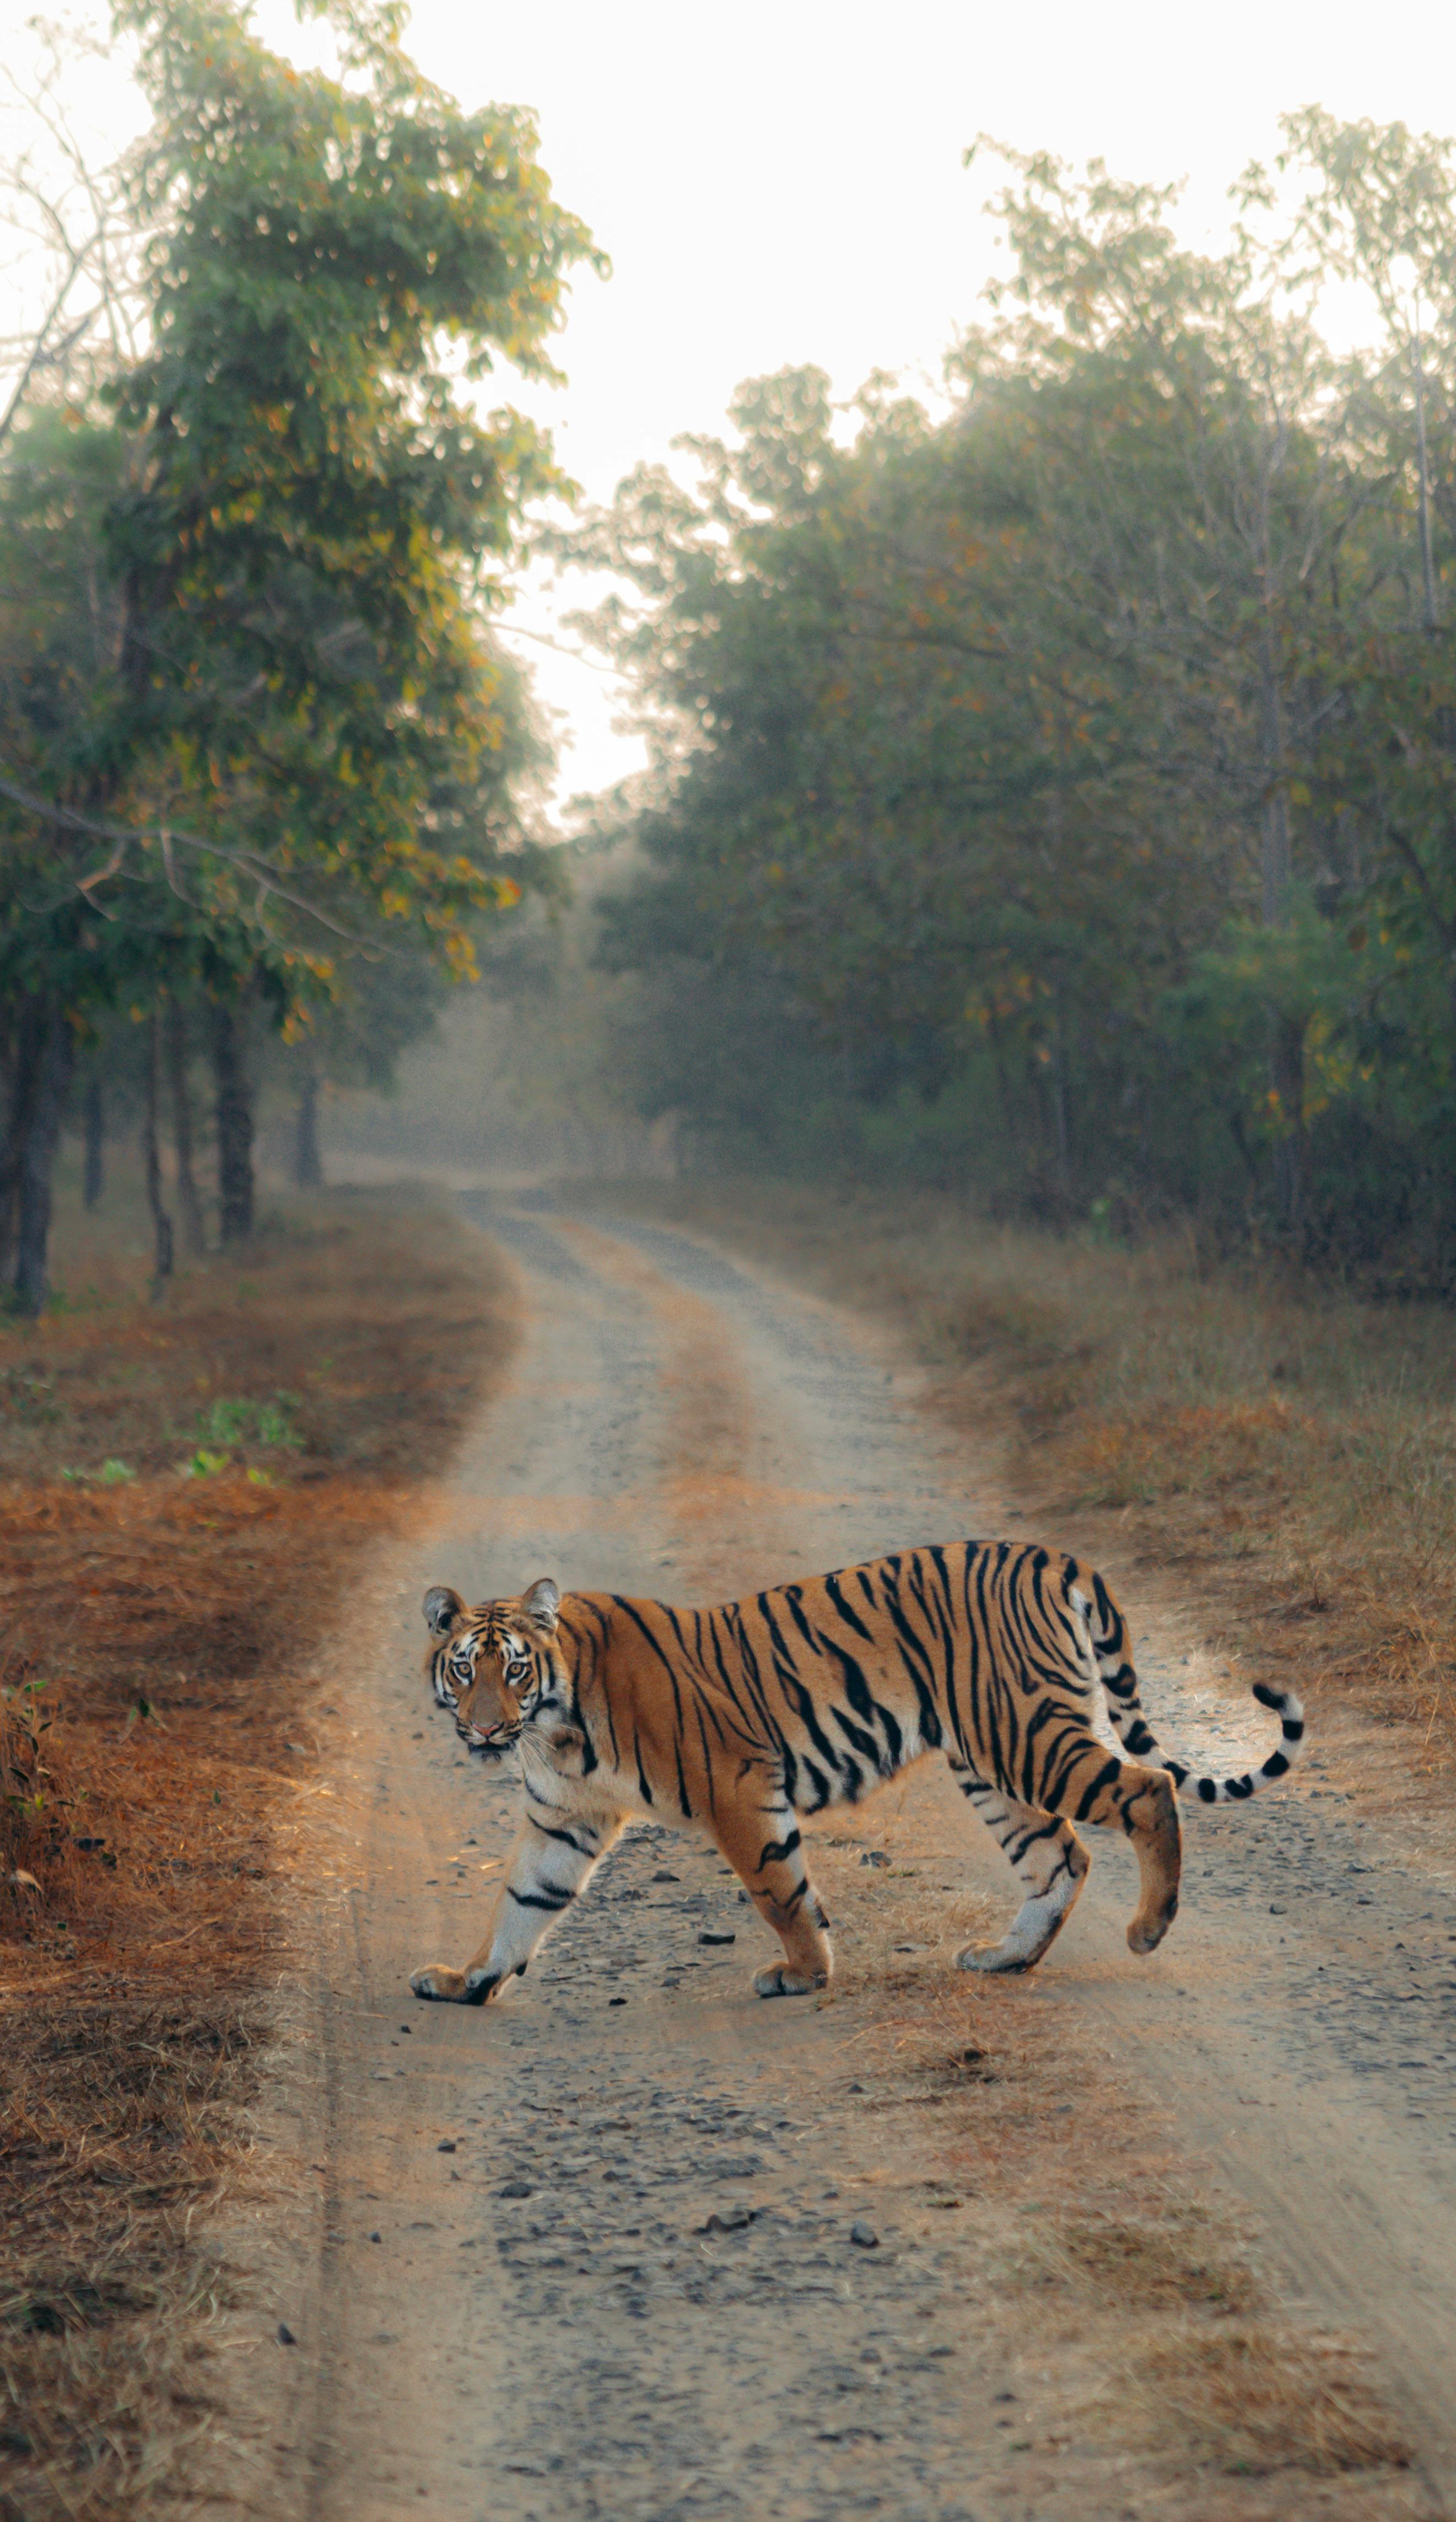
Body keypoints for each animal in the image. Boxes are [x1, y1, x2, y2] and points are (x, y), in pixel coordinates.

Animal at [408, 1540, 1306, 2008]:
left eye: (514, 1669)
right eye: (463, 1668)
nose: (483, 1727)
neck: (552, 1730)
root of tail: (1049, 1554)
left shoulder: (738, 1789)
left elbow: (779, 1891)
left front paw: (804, 1973)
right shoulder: (564, 1820)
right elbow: (520, 1904)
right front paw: (466, 1979)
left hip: (1024, 1738)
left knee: (1147, 1790)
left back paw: (1148, 1929)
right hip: (990, 1762)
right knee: (1061, 1858)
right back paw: (1005, 1958)